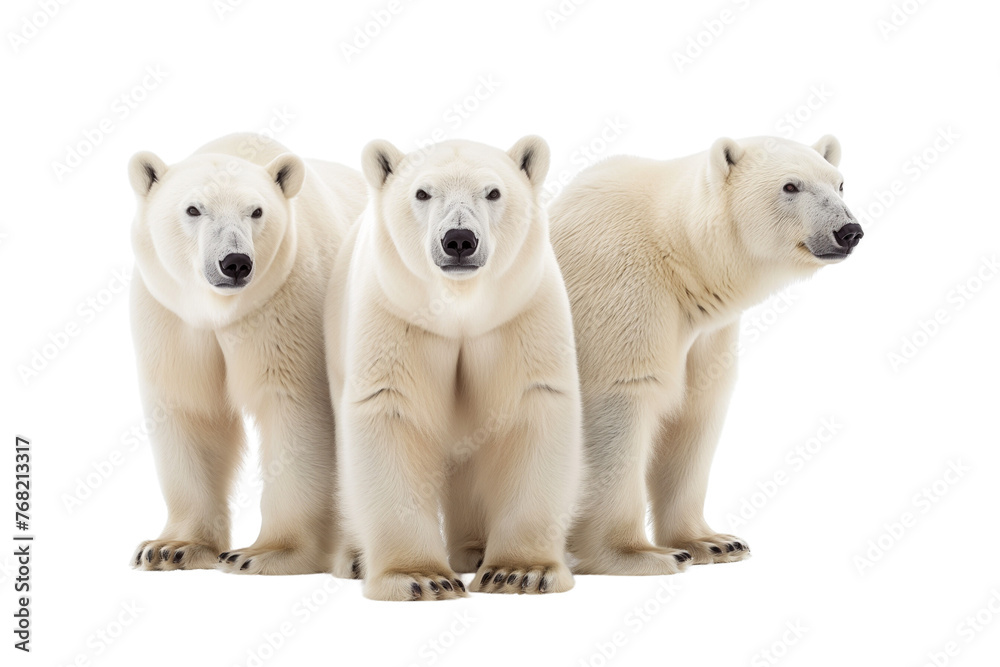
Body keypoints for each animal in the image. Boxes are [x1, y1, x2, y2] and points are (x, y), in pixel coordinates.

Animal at [127, 133, 366, 575]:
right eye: (193, 208)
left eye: (256, 211)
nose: (235, 263)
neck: (223, 310)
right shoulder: (171, 317)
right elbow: (192, 409)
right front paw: (169, 548)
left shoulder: (286, 301)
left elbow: (295, 411)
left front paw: (263, 553)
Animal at [325, 137, 582, 600]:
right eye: (422, 193)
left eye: (493, 192)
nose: (459, 239)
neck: (460, 310)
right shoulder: (398, 318)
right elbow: (391, 413)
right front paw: (420, 578)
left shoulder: (519, 314)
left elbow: (531, 409)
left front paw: (520, 572)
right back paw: (355, 558)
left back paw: (475, 551)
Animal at [548, 135, 863, 574]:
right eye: (790, 186)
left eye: (840, 184)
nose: (848, 231)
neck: (677, 254)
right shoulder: (619, 293)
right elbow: (620, 402)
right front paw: (637, 554)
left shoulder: (706, 330)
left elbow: (696, 411)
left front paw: (713, 542)